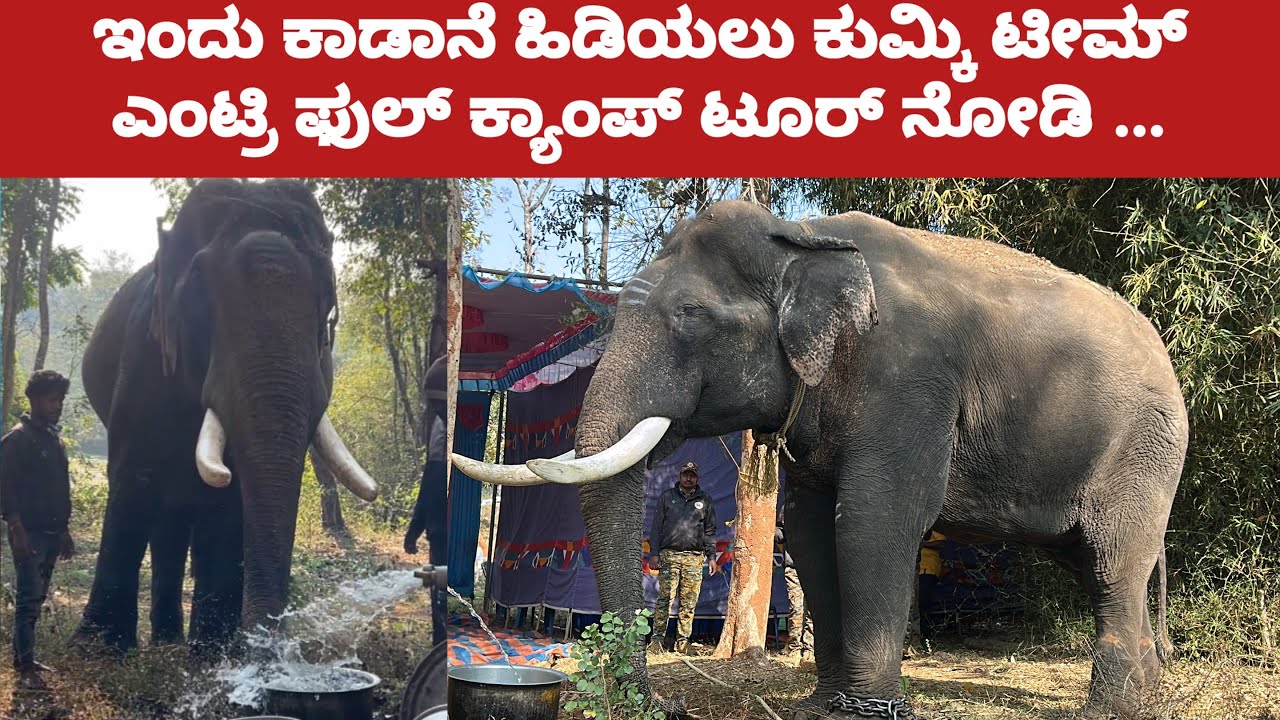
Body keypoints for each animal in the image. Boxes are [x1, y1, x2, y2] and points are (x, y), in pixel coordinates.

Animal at [75, 179, 378, 656]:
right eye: (199, 287)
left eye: (327, 301)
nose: (264, 649)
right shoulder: (143, 356)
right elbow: (134, 477)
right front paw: (98, 651)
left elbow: (230, 500)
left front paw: (214, 653)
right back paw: (161, 641)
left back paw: (178, 641)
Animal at [455, 201, 1188, 720]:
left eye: (691, 315)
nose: (664, 701)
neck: (802, 236)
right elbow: (808, 527)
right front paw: (818, 706)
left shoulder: (907, 379)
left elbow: (874, 517)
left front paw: (864, 712)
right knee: (1100, 566)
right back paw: (1148, 697)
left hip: (1142, 450)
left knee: (1112, 560)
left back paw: (1108, 709)